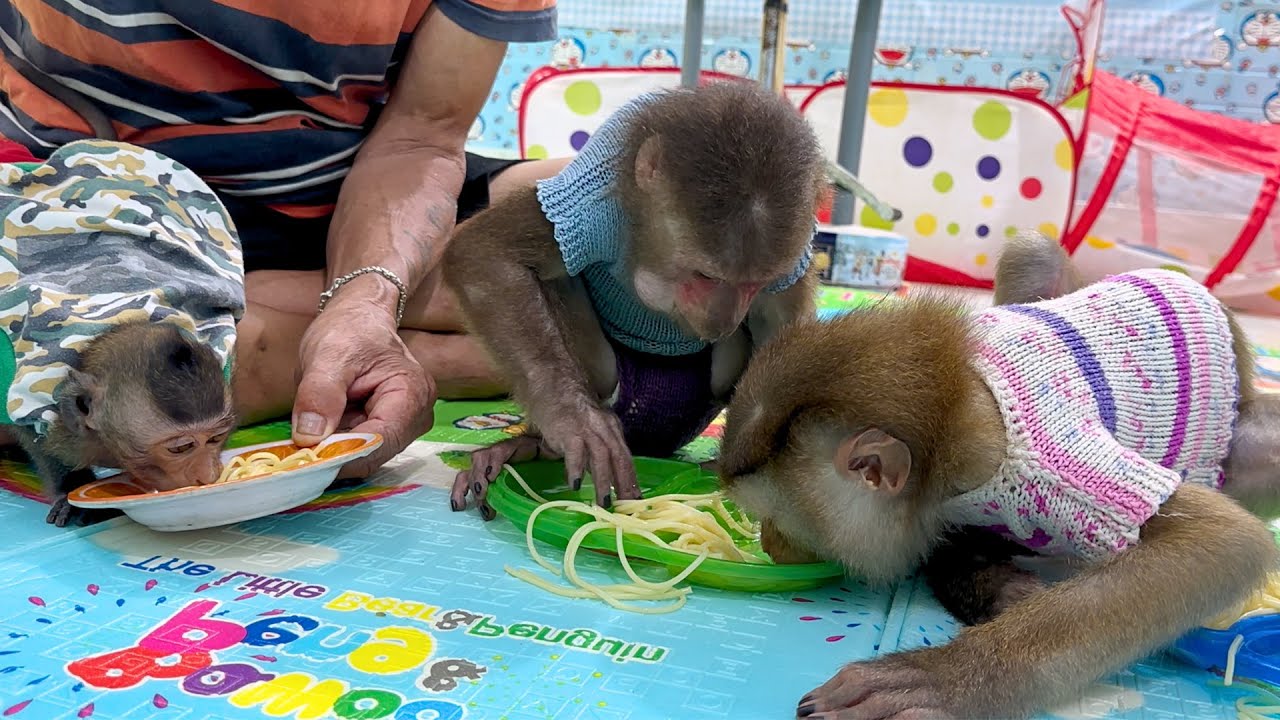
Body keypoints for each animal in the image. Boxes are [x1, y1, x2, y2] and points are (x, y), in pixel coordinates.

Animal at [13, 321, 237, 527]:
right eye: (181, 448)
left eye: (216, 437)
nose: (208, 476)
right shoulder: (46, 416)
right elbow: (35, 438)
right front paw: (70, 492)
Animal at [443, 81, 827, 518]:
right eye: (705, 276)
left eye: (754, 285)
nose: (723, 320)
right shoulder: (591, 211)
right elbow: (484, 254)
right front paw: (575, 421)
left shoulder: (792, 256)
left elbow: (783, 322)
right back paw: (530, 446)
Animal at [717, 238, 1280, 718]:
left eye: (776, 519)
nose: (770, 544)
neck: (953, 408)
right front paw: (995, 585)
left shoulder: (1049, 467)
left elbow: (1227, 541)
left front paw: (950, 679)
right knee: (1033, 251)